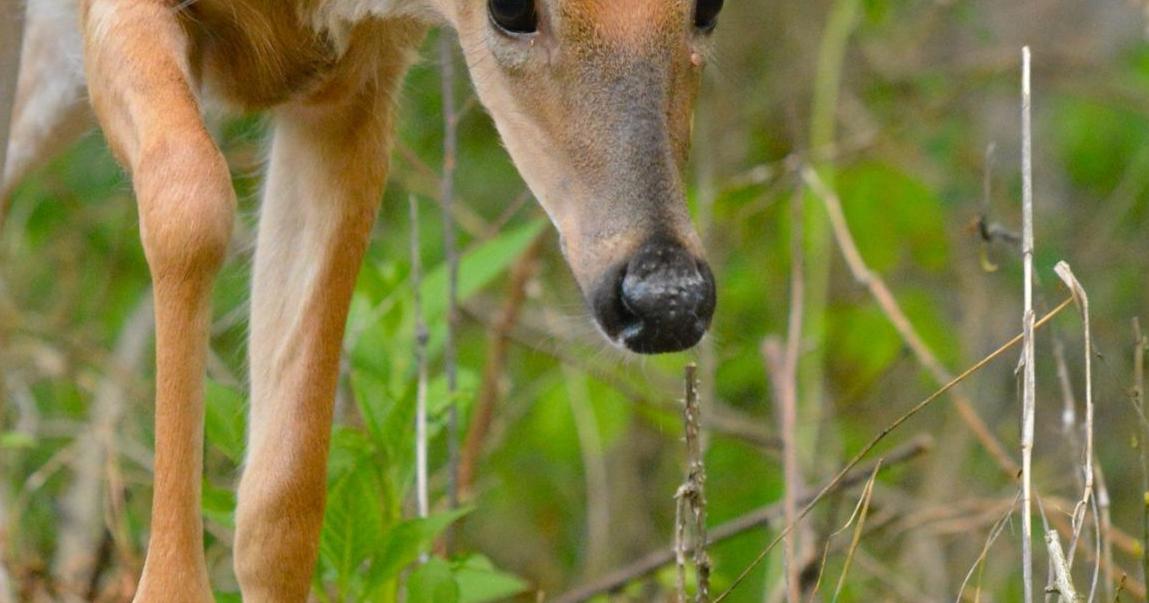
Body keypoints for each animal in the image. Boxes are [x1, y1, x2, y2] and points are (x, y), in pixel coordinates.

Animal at [0, 0, 722, 599]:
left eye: (709, 5)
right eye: (511, 7)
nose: (666, 298)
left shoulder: (352, 84)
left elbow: (278, 513)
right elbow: (189, 202)